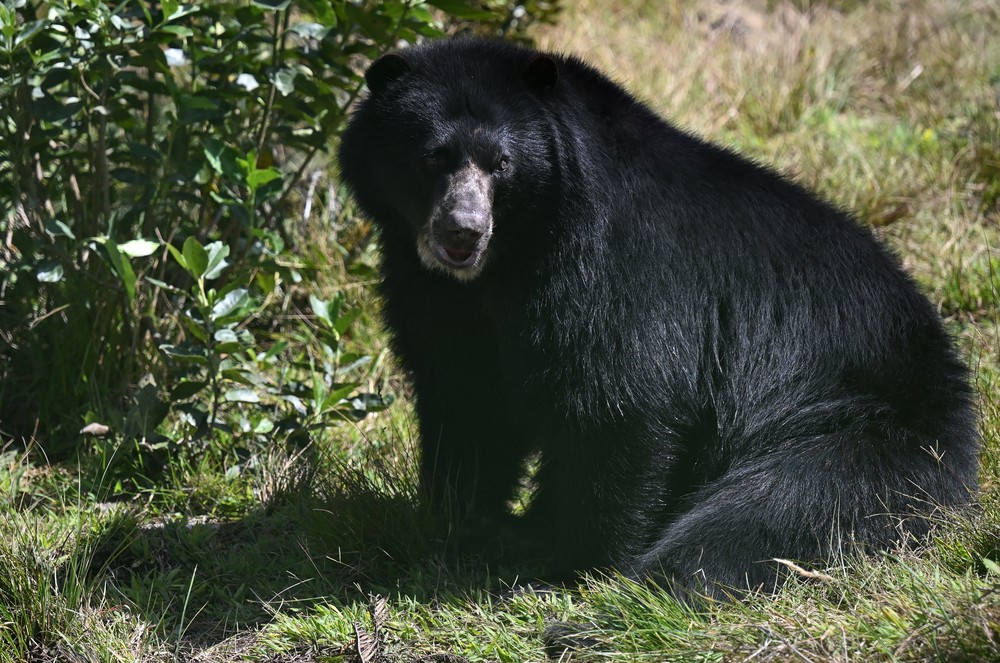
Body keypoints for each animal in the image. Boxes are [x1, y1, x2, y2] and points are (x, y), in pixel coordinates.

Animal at [337, 38, 980, 598]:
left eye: (502, 164)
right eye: (433, 157)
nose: (462, 233)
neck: (510, 261)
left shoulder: (616, 271)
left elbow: (619, 399)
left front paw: (569, 561)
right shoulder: (433, 290)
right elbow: (466, 396)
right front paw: (461, 523)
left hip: (862, 438)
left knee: (768, 514)